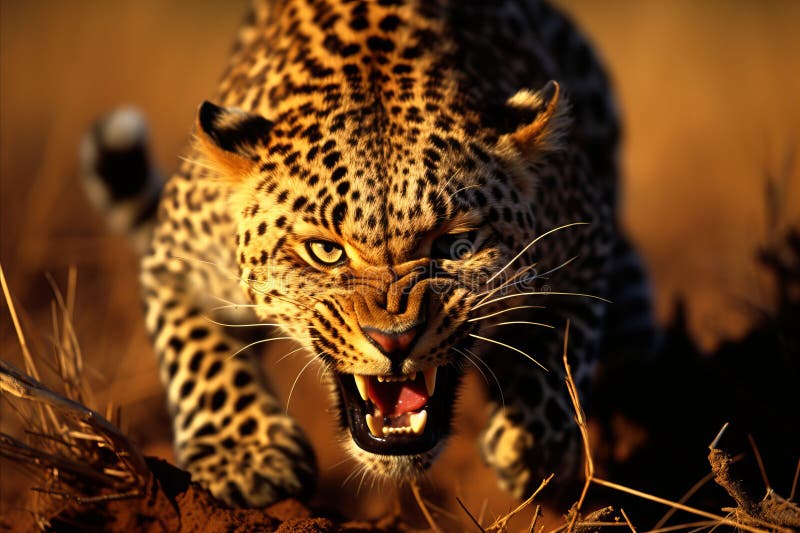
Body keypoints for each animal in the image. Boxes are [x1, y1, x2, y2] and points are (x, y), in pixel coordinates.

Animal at [81, 0, 657, 508]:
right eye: (324, 251)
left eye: (454, 245)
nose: (394, 340)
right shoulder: (174, 263)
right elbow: (202, 358)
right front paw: (245, 458)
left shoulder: (584, 239)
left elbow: (560, 346)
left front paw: (534, 444)